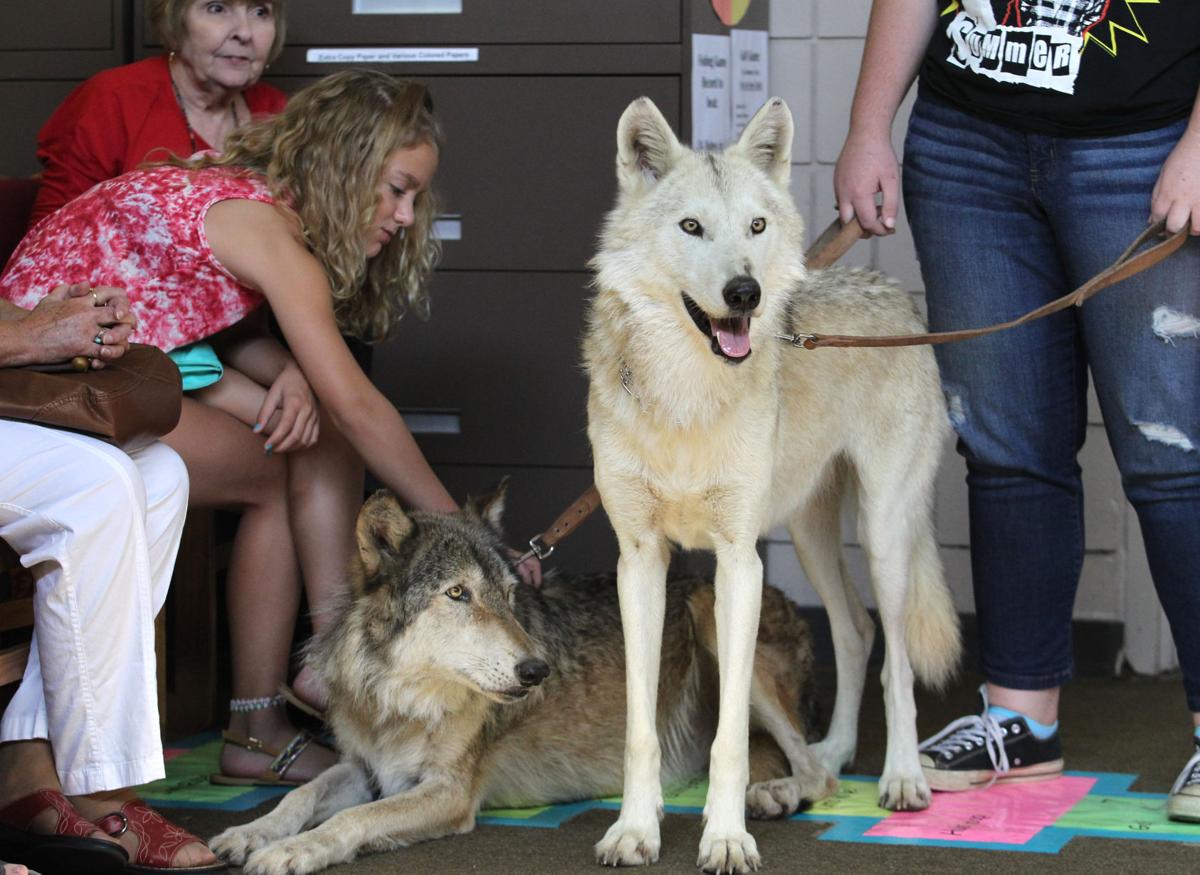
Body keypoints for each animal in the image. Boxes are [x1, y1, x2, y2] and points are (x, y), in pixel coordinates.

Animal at [209, 482, 834, 875]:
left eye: (509, 596)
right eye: (458, 594)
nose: (538, 670)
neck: (403, 699)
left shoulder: (450, 792)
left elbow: (354, 819)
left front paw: (295, 852)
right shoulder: (365, 768)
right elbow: (300, 796)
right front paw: (249, 833)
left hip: (713, 614)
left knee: (819, 770)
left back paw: (774, 795)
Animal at [584, 96, 961, 873]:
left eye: (756, 226)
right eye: (691, 226)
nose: (746, 293)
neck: (688, 395)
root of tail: (895, 295)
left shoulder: (739, 563)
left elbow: (730, 735)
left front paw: (726, 836)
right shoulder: (639, 560)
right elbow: (639, 725)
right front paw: (635, 829)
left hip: (883, 534)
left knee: (898, 659)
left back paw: (901, 777)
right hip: (811, 537)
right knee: (856, 631)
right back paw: (833, 755)